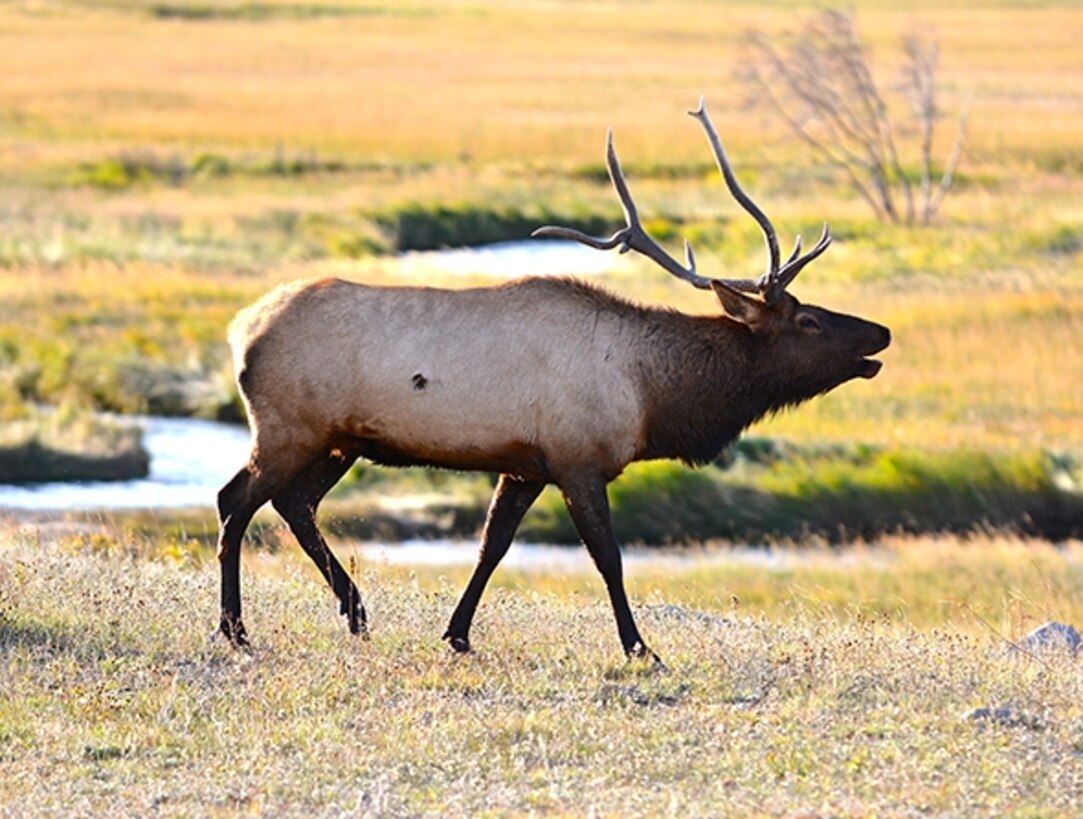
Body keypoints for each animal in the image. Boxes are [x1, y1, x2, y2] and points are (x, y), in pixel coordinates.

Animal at [216, 99, 890, 663]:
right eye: (807, 320)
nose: (879, 335)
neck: (653, 396)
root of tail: (240, 328)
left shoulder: (525, 465)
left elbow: (492, 547)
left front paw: (457, 634)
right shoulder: (578, 460)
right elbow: (609, 558)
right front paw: (640, 648)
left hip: (340, 440)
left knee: (294, 504)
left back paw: (354, 611)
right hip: (289, 428)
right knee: (236, 501)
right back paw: (235, 628)